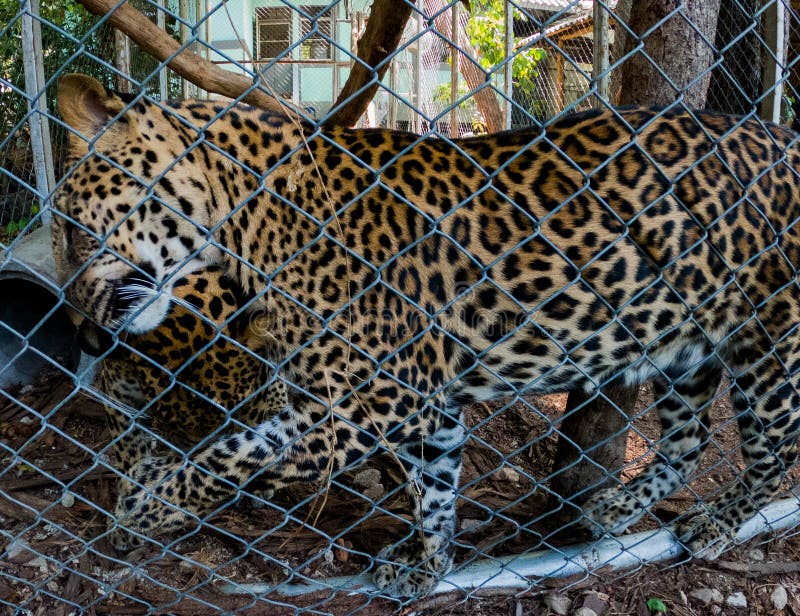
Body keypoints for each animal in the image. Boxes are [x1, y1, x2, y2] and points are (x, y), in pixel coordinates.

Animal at [53, 72, 800, 597]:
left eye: (69, 228)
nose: (83, 339)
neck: (245, 219)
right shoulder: (422, 403)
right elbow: (433, 487)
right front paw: (428, 561)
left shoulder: (361, 406)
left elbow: (231, 460)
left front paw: (141, 509)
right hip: (685, 346)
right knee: (689, 441)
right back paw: (618, 506)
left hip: (771, 344)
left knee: (776, 451)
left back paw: (717, 522)